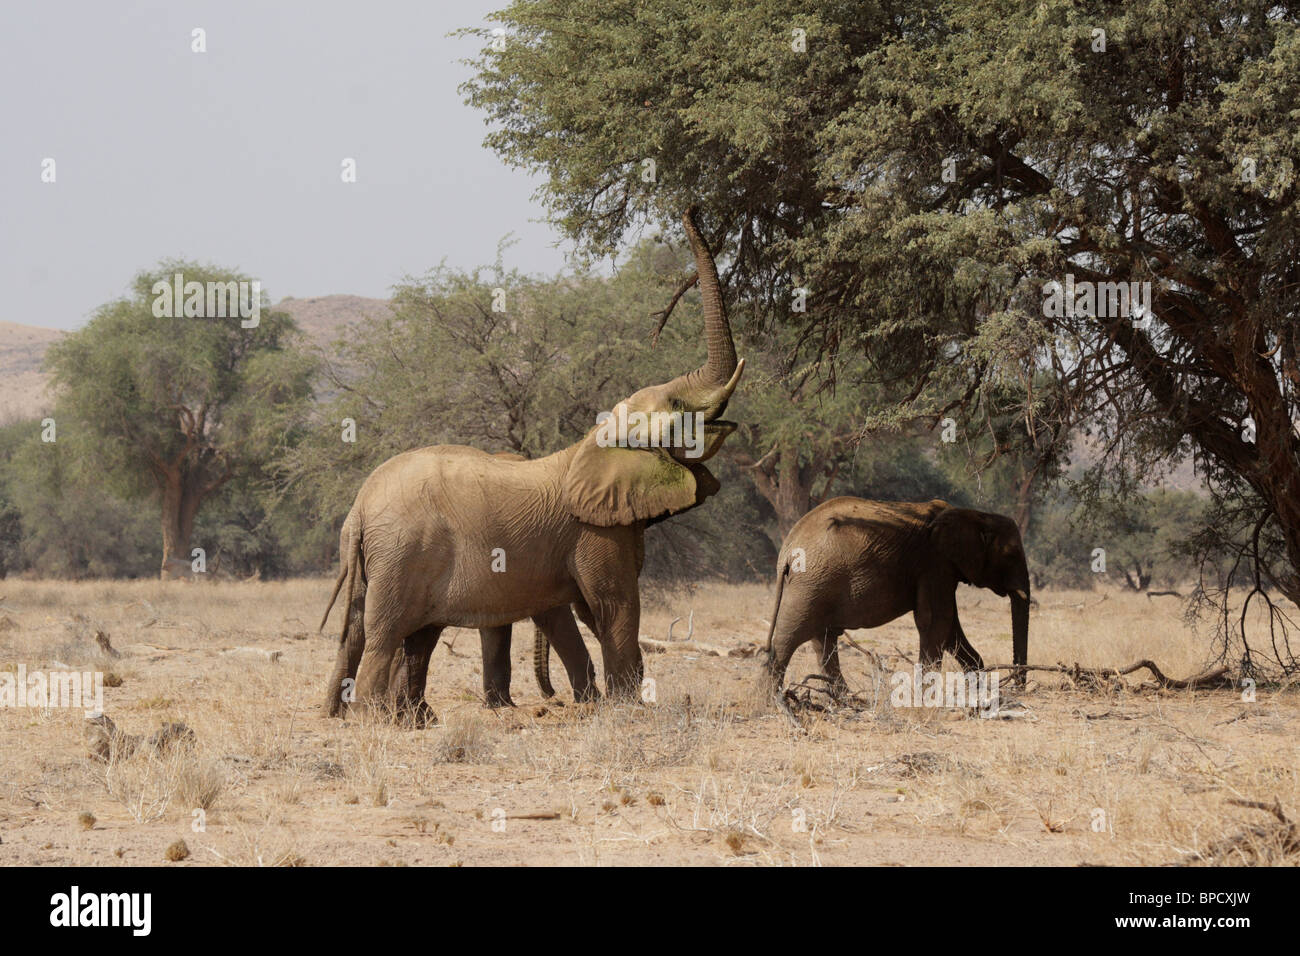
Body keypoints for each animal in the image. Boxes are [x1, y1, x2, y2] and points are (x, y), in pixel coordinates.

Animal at [320, 205, 744, 718]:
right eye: (678, 408)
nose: (689, 209)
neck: (593, 442)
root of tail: (360, 508)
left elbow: (578, 614)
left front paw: (598, 705)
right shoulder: (595, 531)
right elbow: (614, 606)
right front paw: (627, 710)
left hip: (375, 555)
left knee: (358, 632)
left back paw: (352, 717)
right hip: (402, 552)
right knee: (384, 633)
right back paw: (377, 719)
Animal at [762, 497, 1030, 697]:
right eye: (1011, 555)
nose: (1018, 686)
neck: (975, 515)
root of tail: (787, 550)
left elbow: (950, 627)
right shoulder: (935, 562)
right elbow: (936, 621)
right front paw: (927, 696)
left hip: (816, 584)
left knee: (823, 639)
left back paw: (845, 699)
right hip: (811, 584)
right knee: (790, 638)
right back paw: (769, 700)